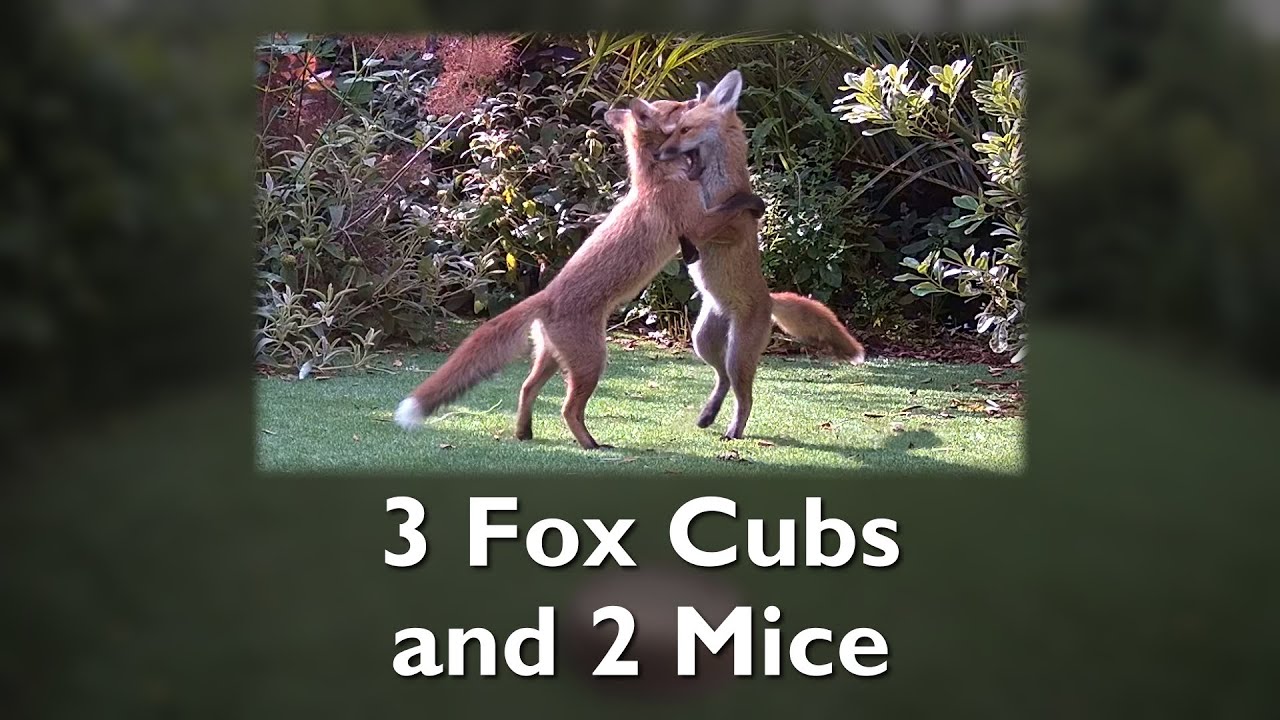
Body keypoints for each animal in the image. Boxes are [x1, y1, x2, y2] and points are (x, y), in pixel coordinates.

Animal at [392, 97, 766, 450]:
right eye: (676, 108)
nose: (695, 102)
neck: (656, 177)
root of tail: (546, 296)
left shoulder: (694, 230)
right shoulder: (698, 224)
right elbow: (731, 206)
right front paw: (754, 202)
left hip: (553, 359)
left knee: (526, 388)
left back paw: (524, 432)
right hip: (592, 362)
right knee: (568, 409)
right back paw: (591, 445)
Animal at [653, 69, 867, 440]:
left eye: (685, 130)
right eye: (675, 127)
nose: (657, 154)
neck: (711, 187)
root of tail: (769, 300)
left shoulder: (731, 230)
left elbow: (703, 229)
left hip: (738, 355)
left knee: (745, 396)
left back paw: (733, 431)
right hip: (703, 341)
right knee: (723, 379)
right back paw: (709, 414)